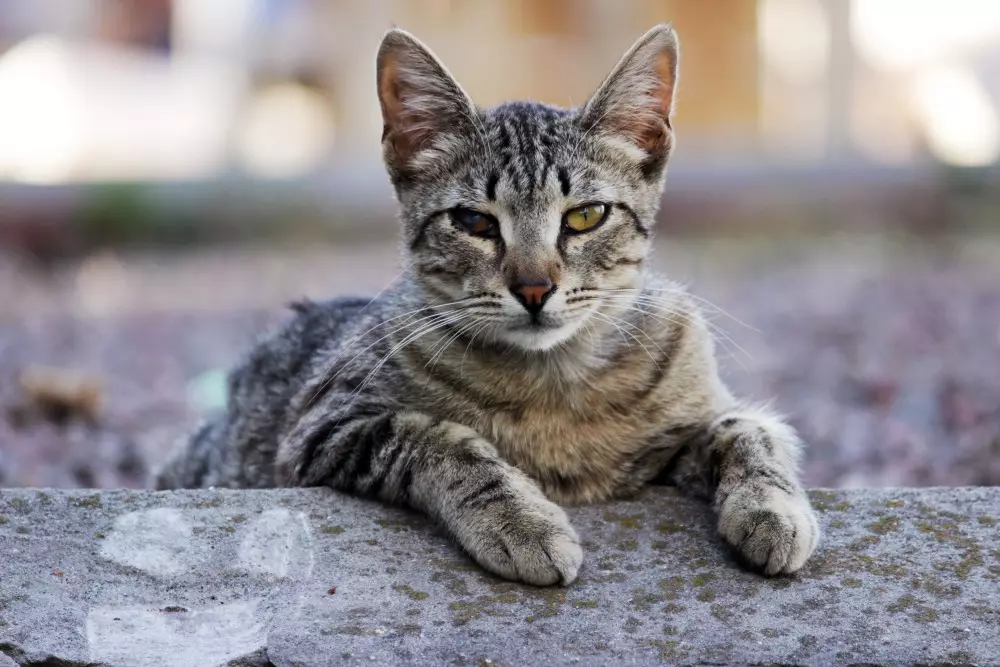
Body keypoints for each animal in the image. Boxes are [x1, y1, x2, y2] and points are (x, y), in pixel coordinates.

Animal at [156, 24, 820, 584]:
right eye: (474, 222)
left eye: (586, 216)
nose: (534, 288)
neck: (555, 383)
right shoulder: (323, 427)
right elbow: (440, 440)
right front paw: (520, 522)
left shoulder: (694, 421)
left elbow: (749, 430)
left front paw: (773, 510)